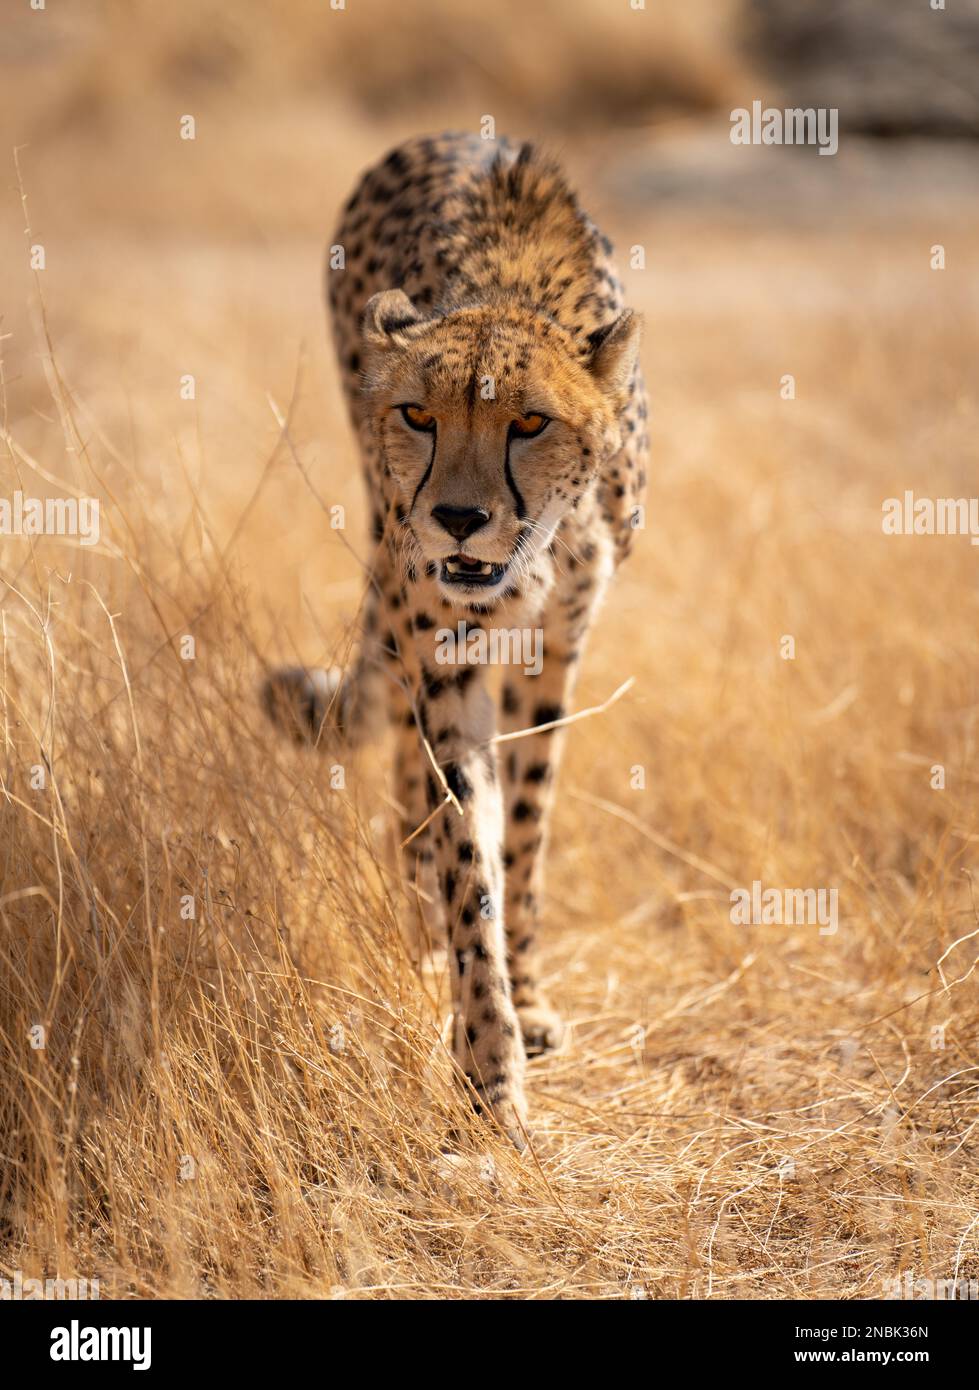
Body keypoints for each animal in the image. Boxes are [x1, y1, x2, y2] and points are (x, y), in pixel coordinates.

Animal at [263, 131, 648, 1148]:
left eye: (529, 421)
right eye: (418, 415)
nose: (459, 520)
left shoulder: (555, 651)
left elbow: (526, 831)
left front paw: (527, 997)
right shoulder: (443, 648)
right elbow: (467, 847)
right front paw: (487, 1070)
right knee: (406, 763)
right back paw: (420, 930)